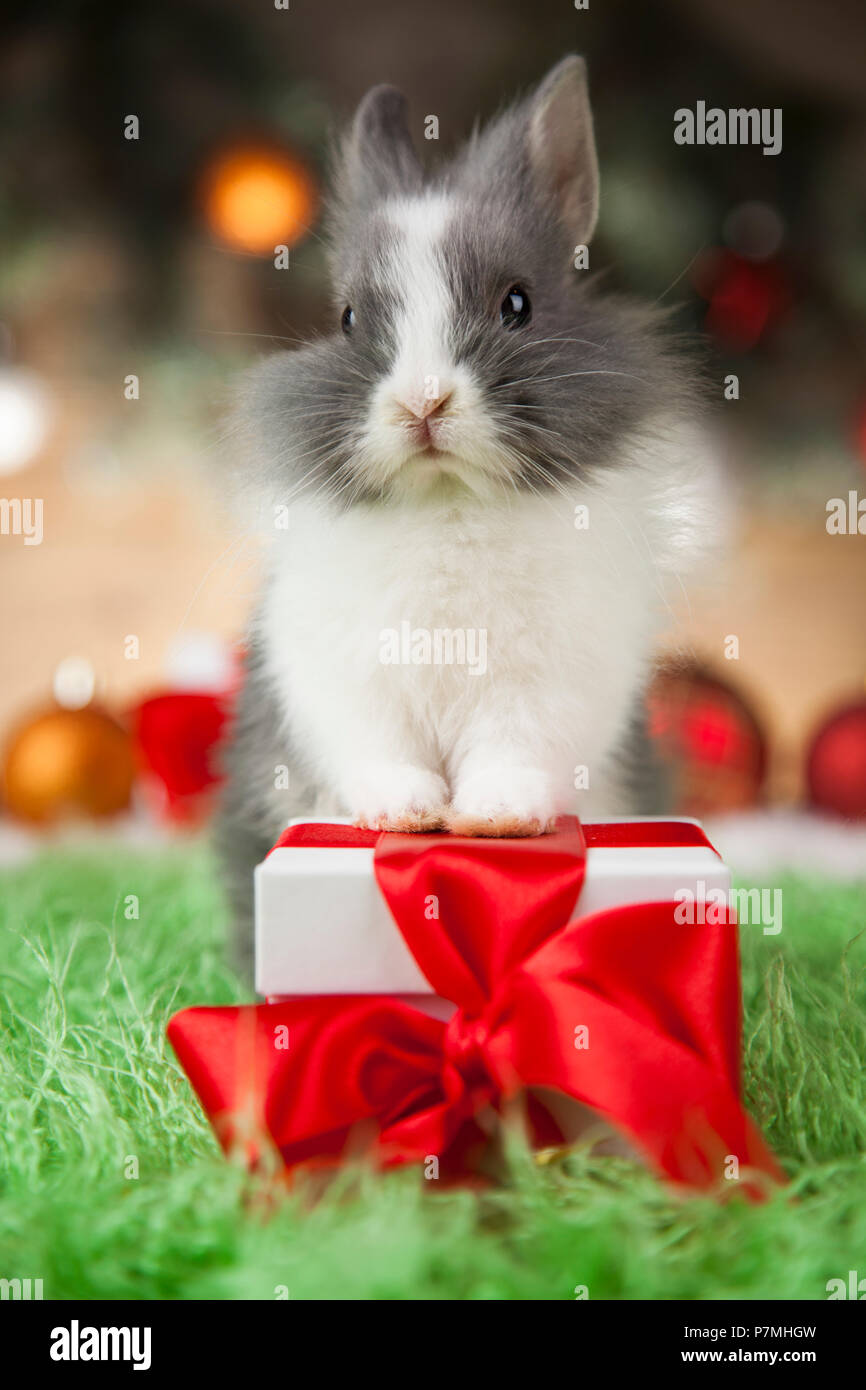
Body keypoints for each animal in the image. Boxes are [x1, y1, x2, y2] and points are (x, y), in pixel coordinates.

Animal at [215, 55, 721, 973]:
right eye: (348, 318)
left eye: (517, 304)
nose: (423, 402)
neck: (450, 503)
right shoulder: (347, 682)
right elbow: (384, 753)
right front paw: (408, 815)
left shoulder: (545, 691)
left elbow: (511, 754)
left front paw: (494, 820)